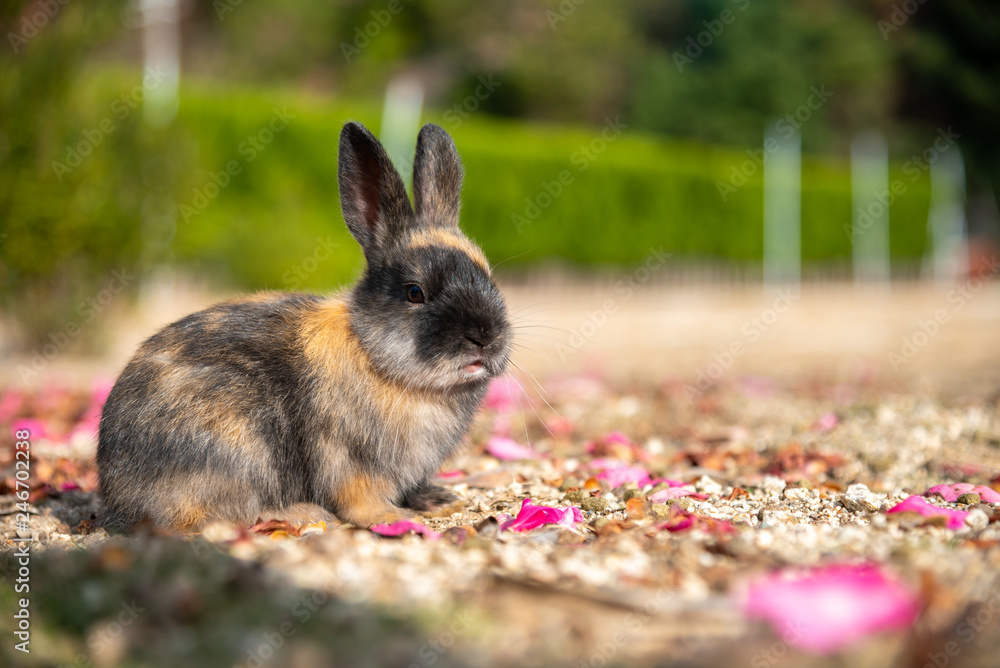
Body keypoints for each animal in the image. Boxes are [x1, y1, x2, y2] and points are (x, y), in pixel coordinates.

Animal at [97, 121, 511, 532]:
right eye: (415, 292)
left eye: (489, 277)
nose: (484, 337)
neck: (376, 357)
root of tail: (120, 495)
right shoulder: (349, 462)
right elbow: (361, 502)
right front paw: (395, 517)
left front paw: (439, 500)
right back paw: (304, 513)